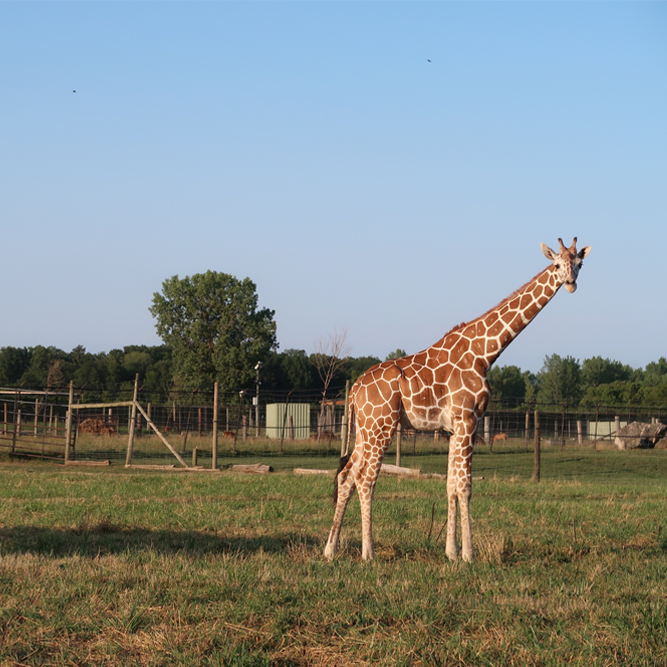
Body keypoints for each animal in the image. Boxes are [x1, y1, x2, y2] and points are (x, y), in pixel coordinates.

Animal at [324, 237, 591, 562]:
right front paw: (469, 555)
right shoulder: (468, 419)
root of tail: (353, 391)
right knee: (365, 480)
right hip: (381, 427)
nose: (570, 283)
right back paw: (369, 552)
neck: (485, 352)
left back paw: (330, 549)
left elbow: (450, 485)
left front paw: (451, 552)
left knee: (346, 476)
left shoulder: (453, 428)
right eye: (556, 265)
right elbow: (465, 487)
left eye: (579, 264)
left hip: (364, 430)